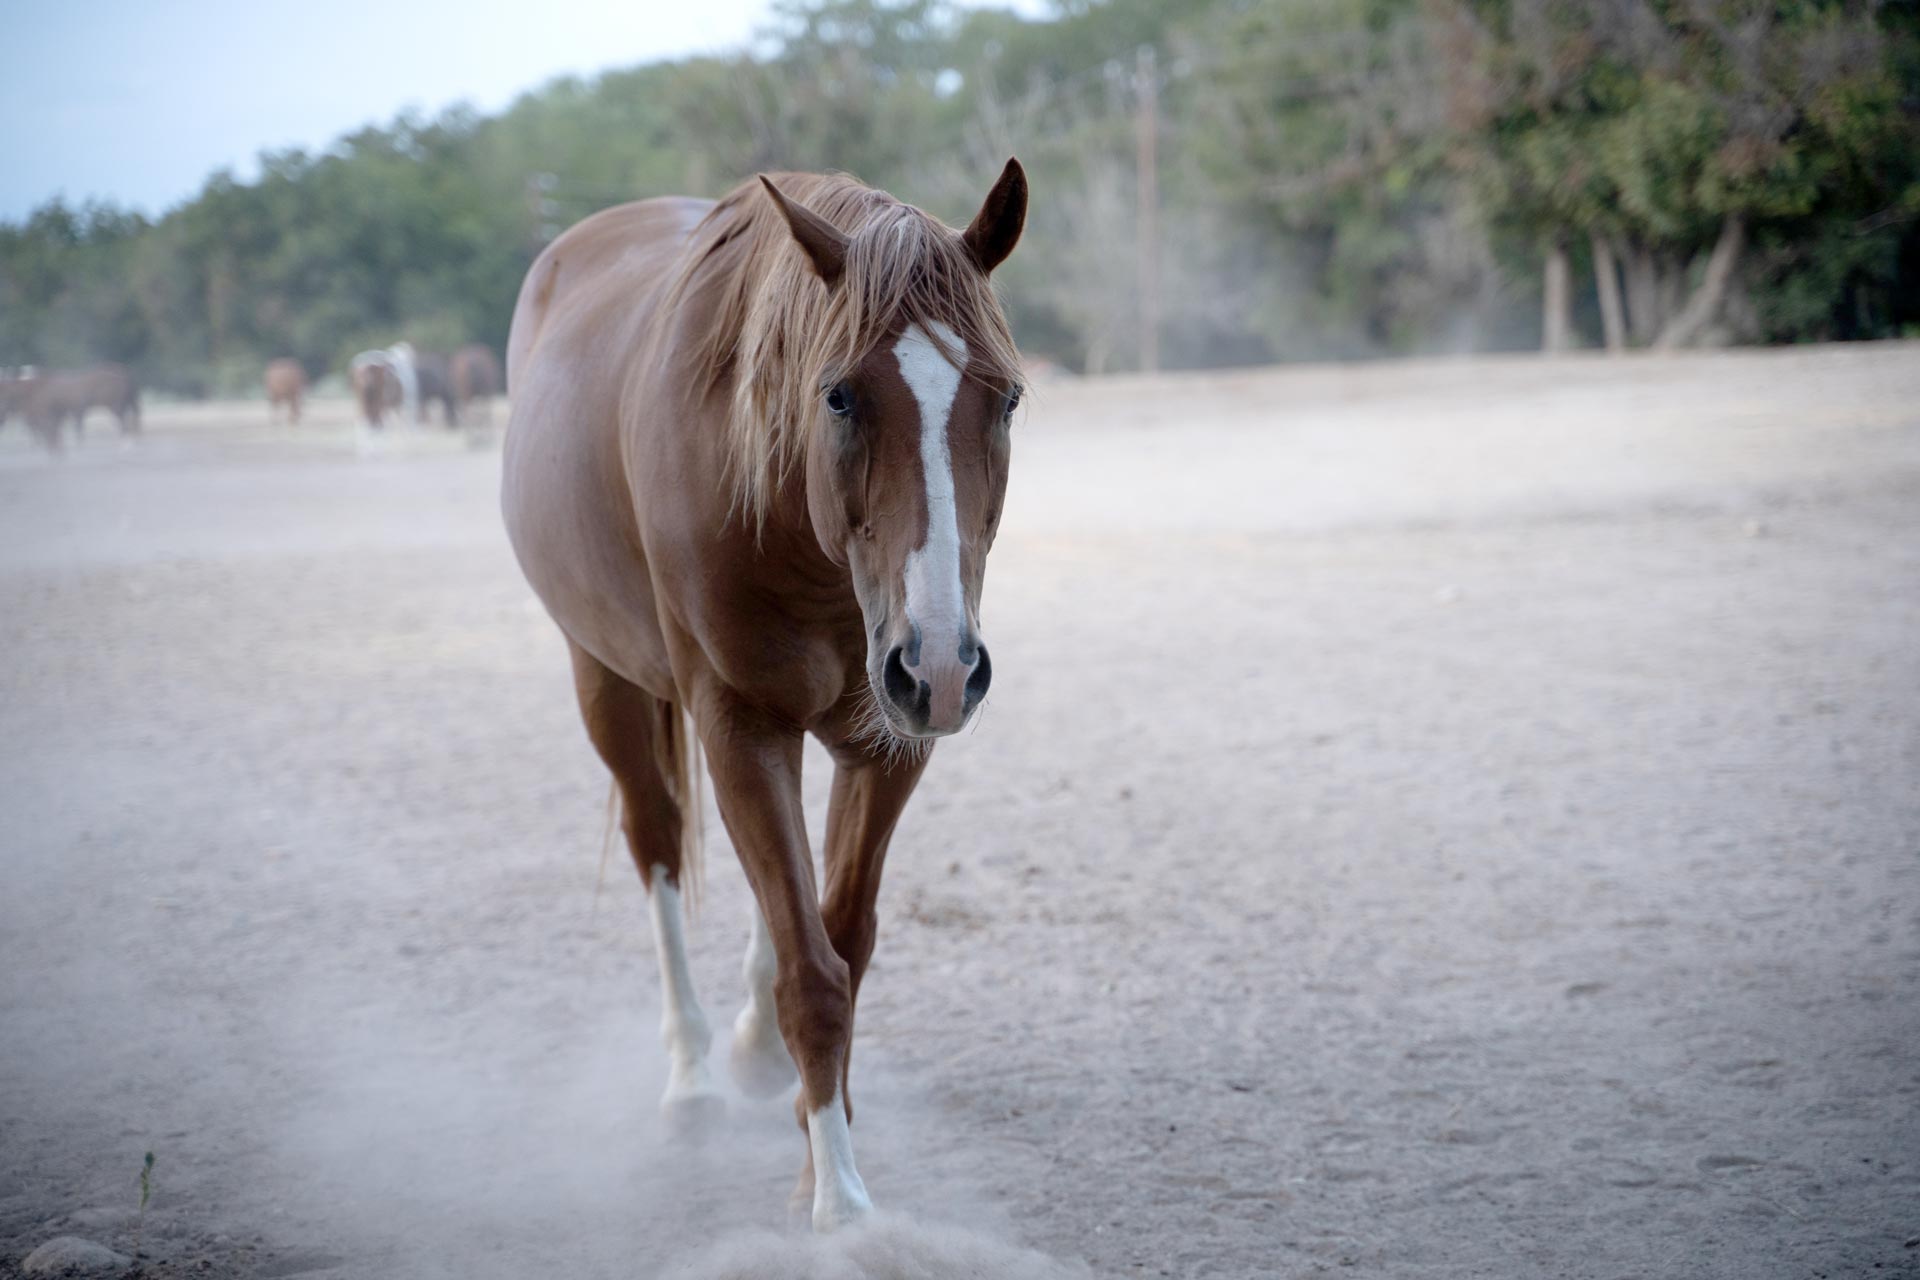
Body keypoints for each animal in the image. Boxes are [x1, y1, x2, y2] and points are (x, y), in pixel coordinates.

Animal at [501, 160, 1027, 1232]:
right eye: (840, 396)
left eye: (1006, 401)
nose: (944, 666)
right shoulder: (739, 728)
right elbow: (811, 975)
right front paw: (841, 1205)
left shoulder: (888, 743)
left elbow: (842, 944)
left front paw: (813, 1143)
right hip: (605, 679)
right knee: (658, 845)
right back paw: (695, 1075)